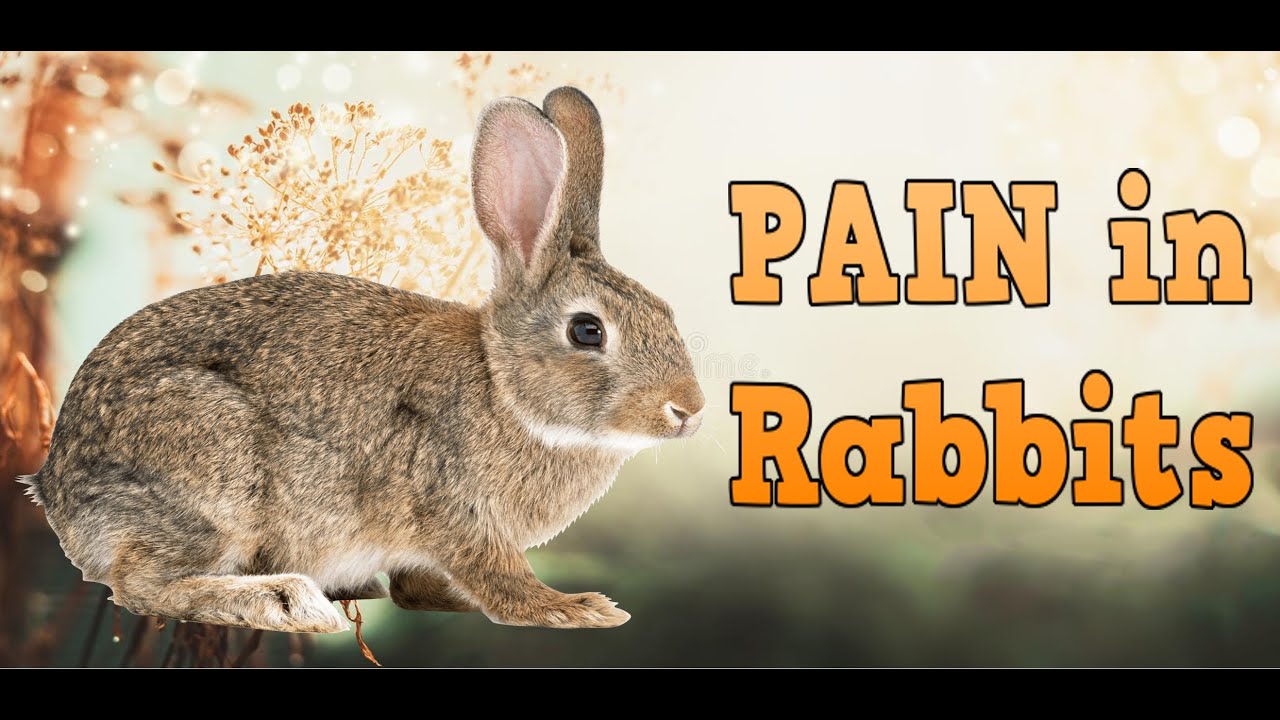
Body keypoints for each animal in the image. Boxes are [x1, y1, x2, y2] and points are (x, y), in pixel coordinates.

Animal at [19, 86, 705, 632]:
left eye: (666, 312)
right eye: (588, 331)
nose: (689, 411)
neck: (504, 389)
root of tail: (57, 487)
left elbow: (422, 586)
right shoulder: (457, 511)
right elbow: (500, 580)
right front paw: (577, 607)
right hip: (212, 472)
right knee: (142, 586)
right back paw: (285, 602)